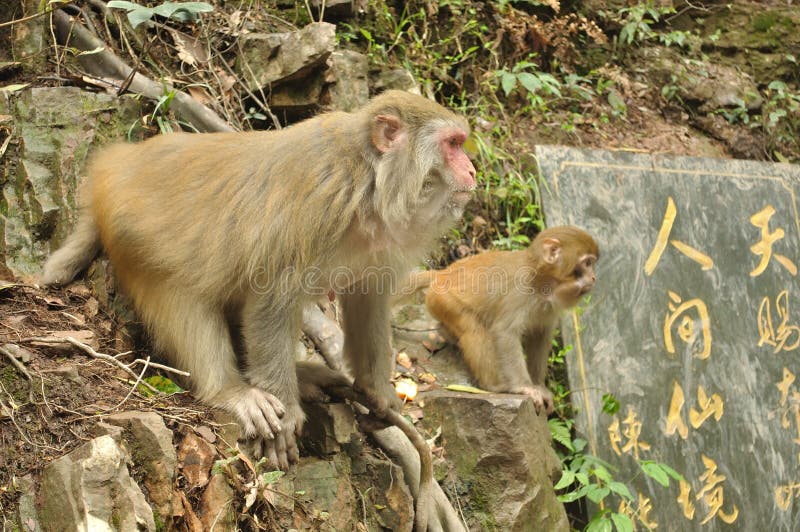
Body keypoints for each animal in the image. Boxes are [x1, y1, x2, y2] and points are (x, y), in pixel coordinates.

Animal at [41, 90, 477, 470]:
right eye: (453, 144)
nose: (472, 169)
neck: (371, 178)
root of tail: (117, 165)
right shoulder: (321, 202)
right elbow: (273, 298)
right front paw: (284, 413)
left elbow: (367, 297)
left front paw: (377, 390)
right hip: (136, 241)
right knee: (185, 296)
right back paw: (233, 391)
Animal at [403, 226, 598, 415]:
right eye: (587, 263)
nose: (593, 277)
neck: (540, 280)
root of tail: (442, 274)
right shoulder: (518, 292)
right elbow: (505, 333)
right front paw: (525, 387)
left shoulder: (549, 307)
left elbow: (540, 336)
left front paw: (539, 387)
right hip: (444, 299)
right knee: (473, 330)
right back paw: (494, 385)